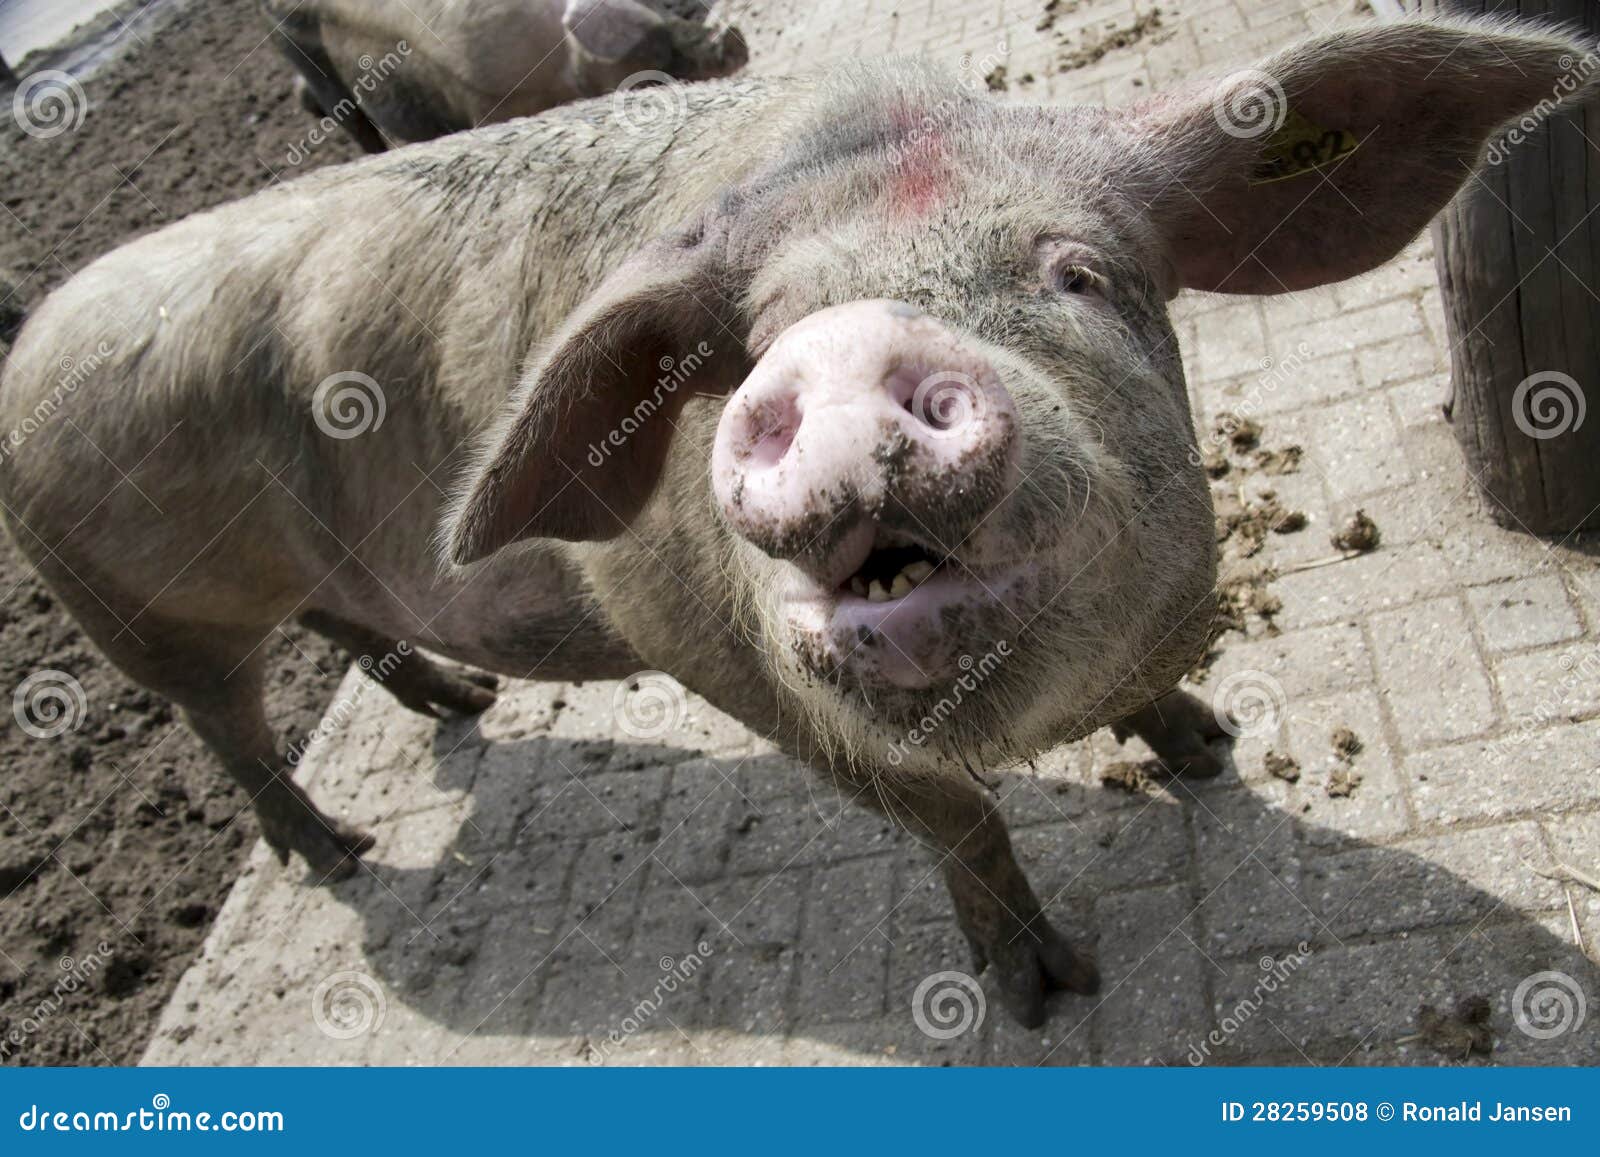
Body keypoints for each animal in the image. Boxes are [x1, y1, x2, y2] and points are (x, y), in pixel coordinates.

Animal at [2, 16, 1589, 1027]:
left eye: (1076, 271)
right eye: (753, 343)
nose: (829, 358)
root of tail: (24, 358)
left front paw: (1210, 751)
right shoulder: (712, 656)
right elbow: (958, 820)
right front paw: (1043, 999)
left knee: (345, 626)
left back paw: (460, 708)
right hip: (140, 620)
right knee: (229, 733)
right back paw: (342, 854)